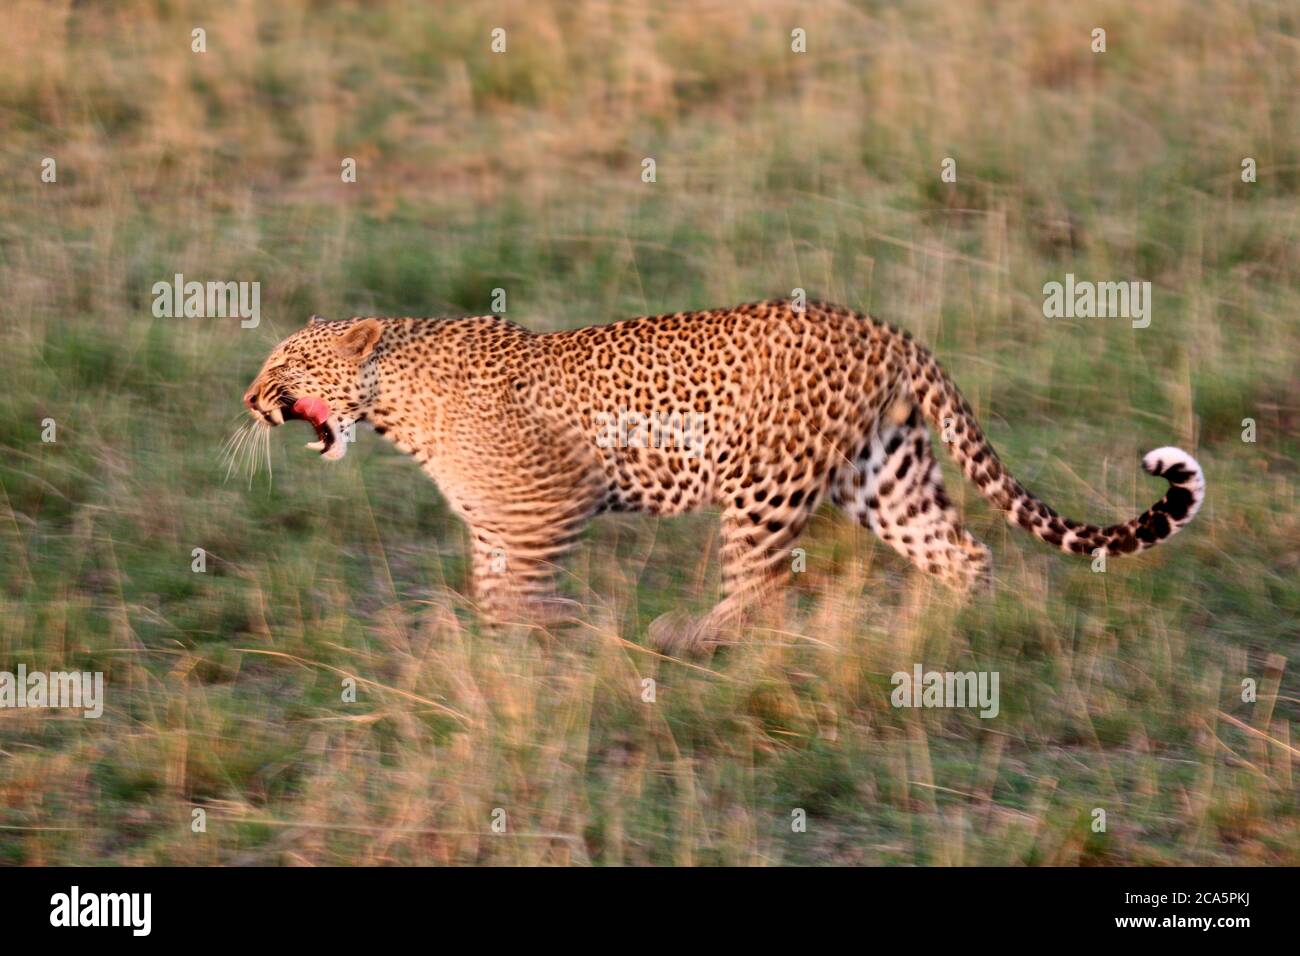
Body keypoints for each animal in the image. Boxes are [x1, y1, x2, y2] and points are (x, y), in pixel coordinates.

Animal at [241, 300, 1205, 651]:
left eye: (283, 361)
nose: (249, 397)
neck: (392, 399)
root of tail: (888, 328)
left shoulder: (550, 502)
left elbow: (520, 591)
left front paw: (554, 630)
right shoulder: (497, 522)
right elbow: (491, 590)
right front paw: (499, 645)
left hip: (765, 481)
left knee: (764, 586)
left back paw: (694, 636)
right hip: (882, 473)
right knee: (963, 552)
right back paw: (947, 639)